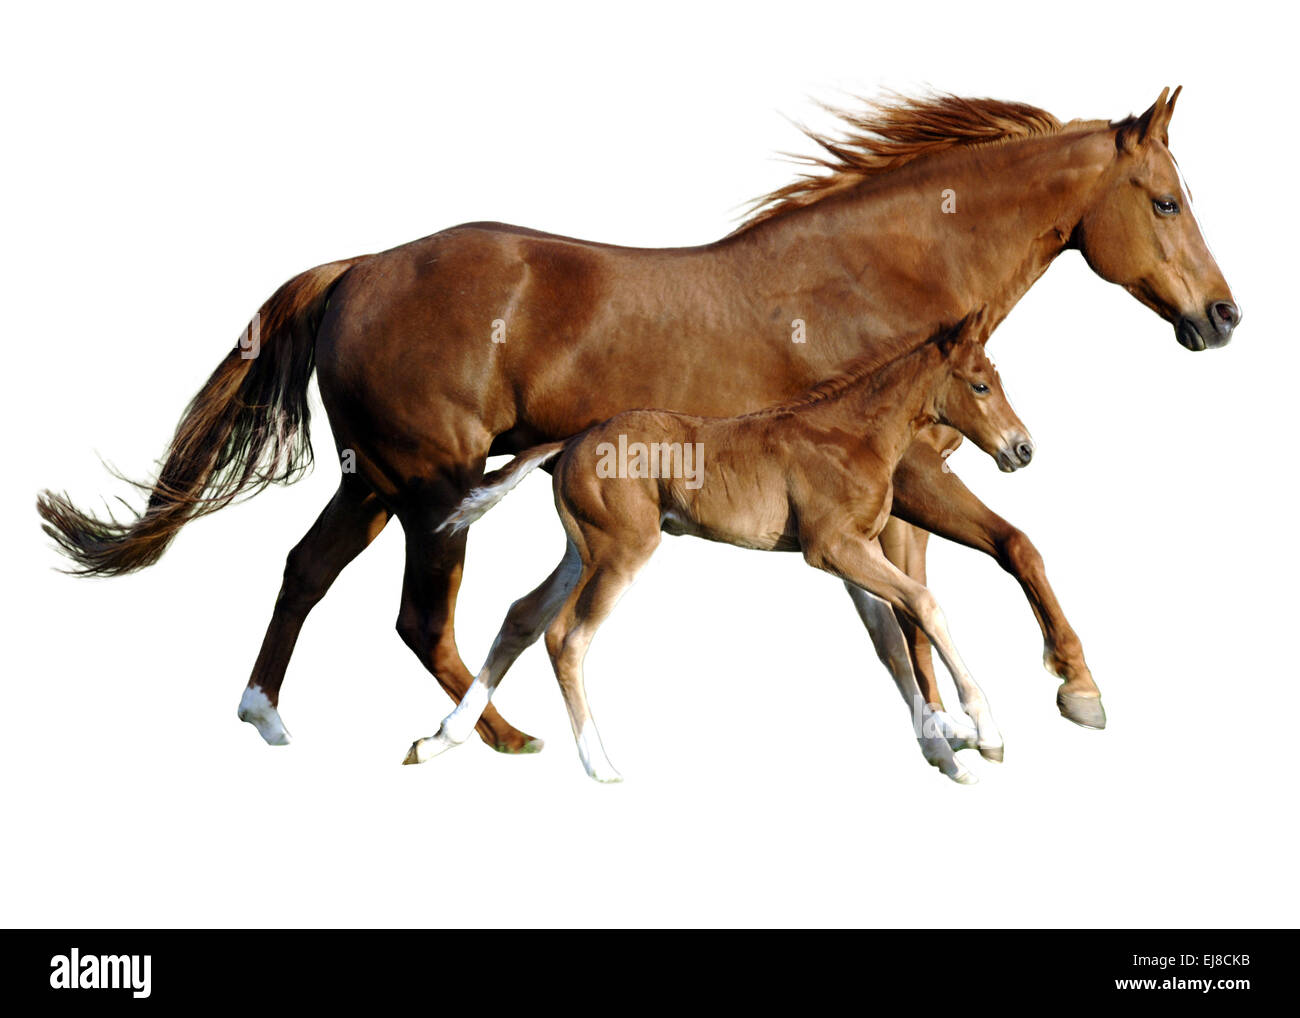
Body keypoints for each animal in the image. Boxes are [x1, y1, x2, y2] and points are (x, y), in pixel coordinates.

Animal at [407, 315, 1031, 784]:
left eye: (997, 379)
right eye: (980, 384)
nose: (1022, 449)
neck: (853, 435)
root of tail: (573, 441)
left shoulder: (854, 558)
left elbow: (892, 647)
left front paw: (948, 759)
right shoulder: (832, 548)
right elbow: (926, 605)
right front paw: (988, 735)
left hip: (581, 551)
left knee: (522, 616)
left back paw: (440, 739)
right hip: (622, 551)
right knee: (566, 637)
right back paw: (600, 766)